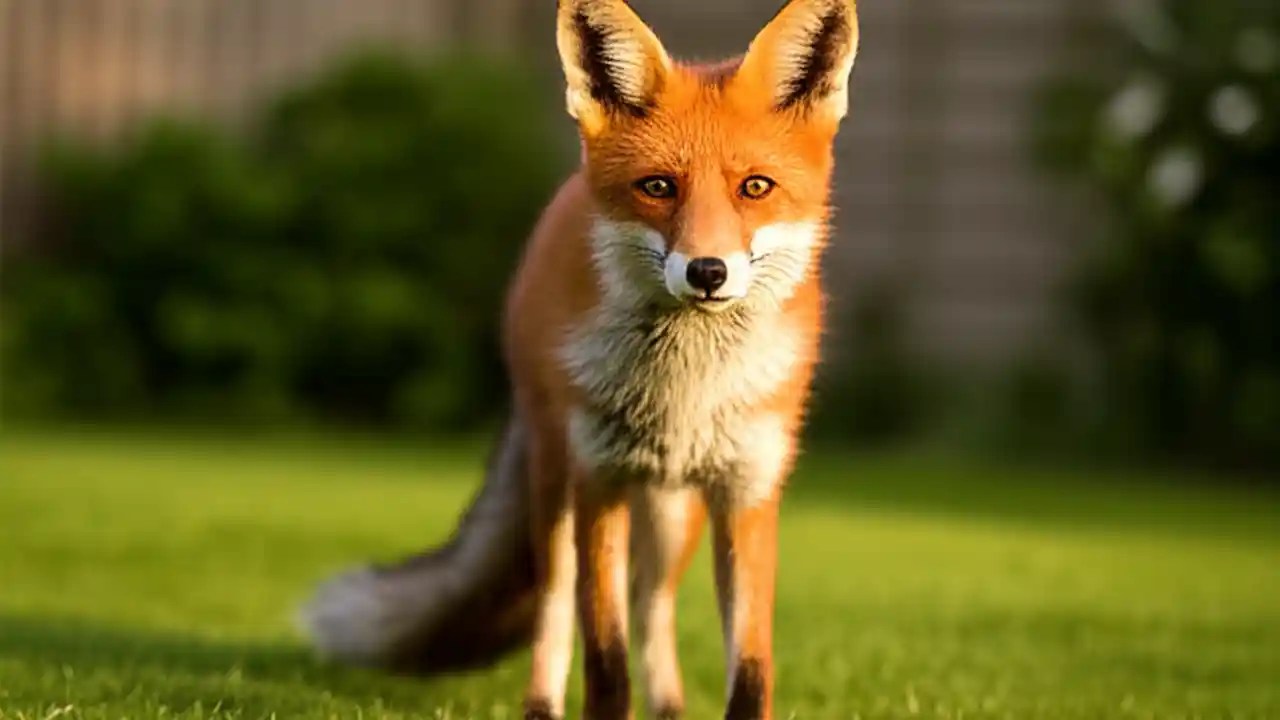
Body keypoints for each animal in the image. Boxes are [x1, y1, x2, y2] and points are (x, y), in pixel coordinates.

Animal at [300, 0, 860, 718]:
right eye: (658, 187)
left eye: (755, 187)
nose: (708, 271)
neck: (683, 391)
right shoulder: (601, 481)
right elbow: (604, 655)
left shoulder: (748, 490)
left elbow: (751, 667)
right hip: (555, 483)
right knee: (556, 605)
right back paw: (542, 703)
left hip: (674, 514)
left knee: (652, 605)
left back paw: (670, 708)